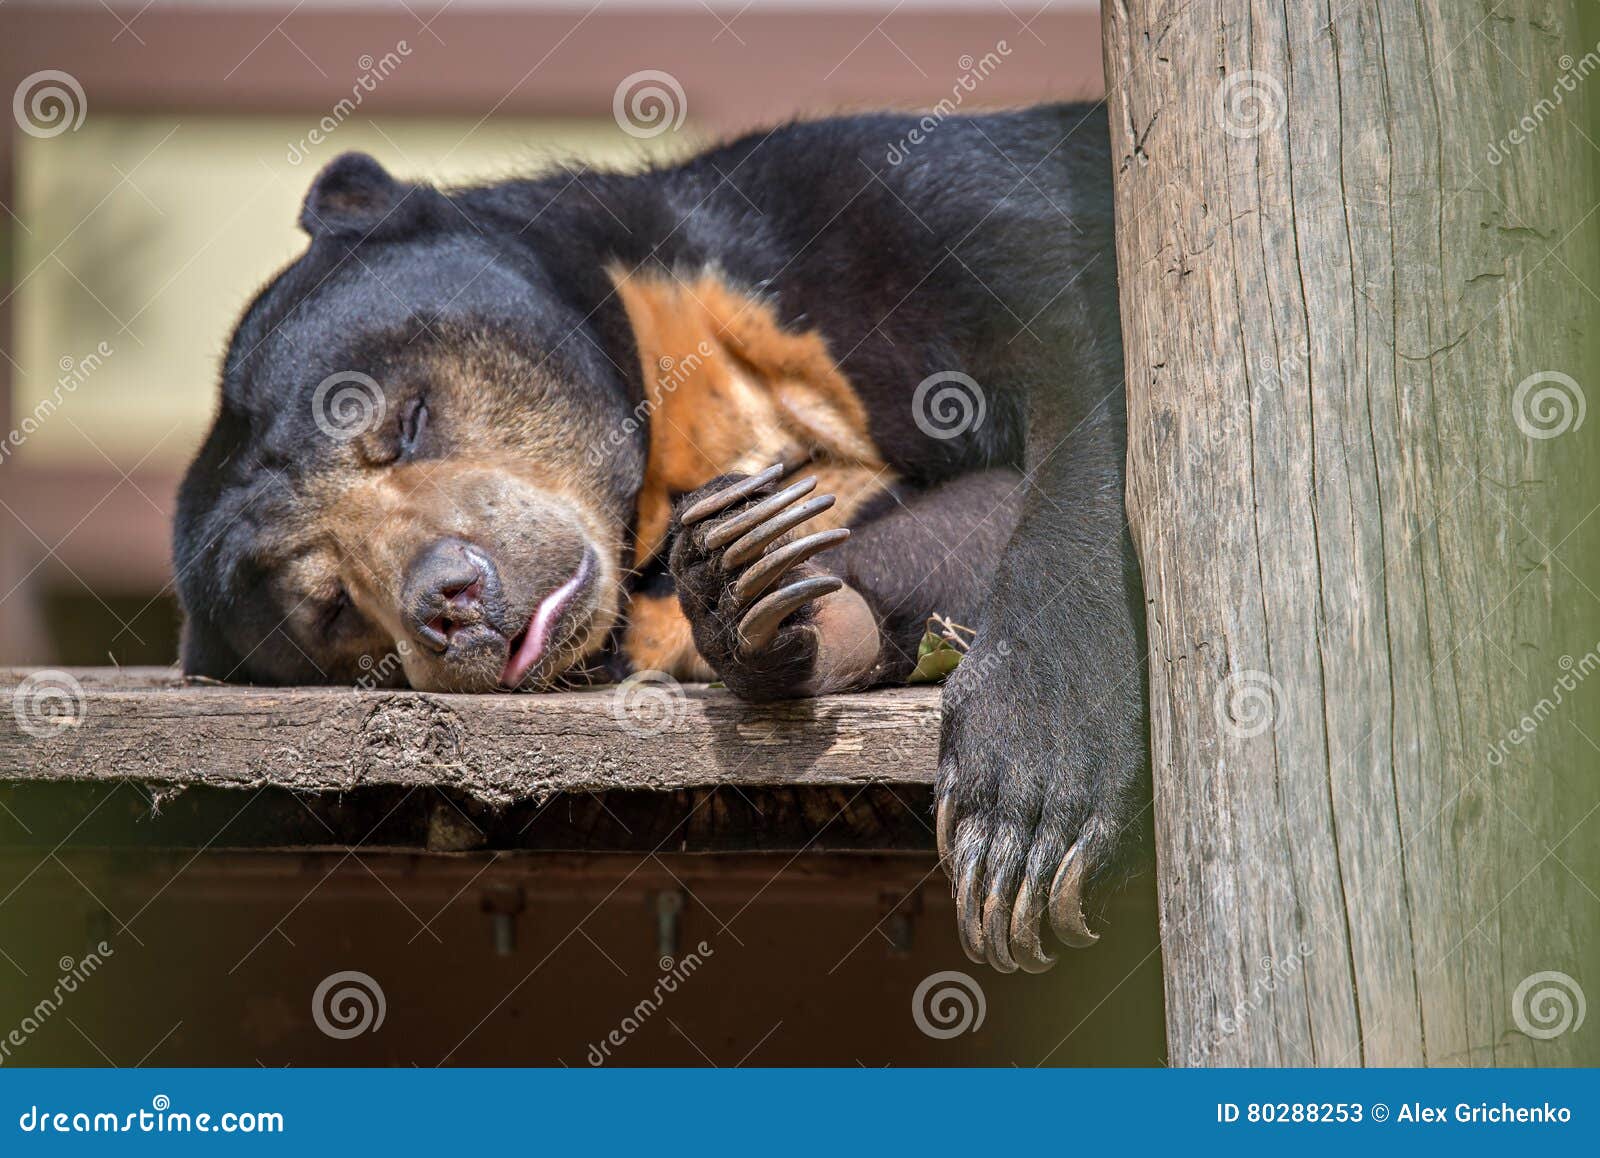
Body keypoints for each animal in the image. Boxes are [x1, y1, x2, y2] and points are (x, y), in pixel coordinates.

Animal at [173, 103, 1148, 973]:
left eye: (401, 424)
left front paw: (1024, 798)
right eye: (332, 609)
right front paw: (754, 587)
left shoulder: (928, 198)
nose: (449, 602)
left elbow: (1089, 367)